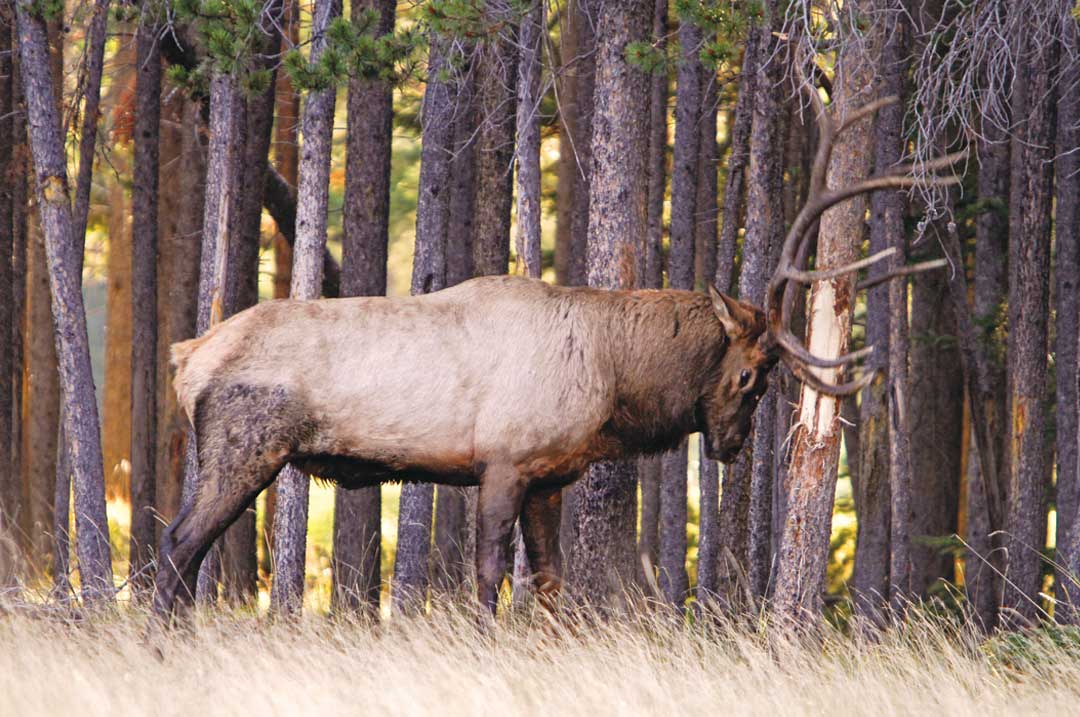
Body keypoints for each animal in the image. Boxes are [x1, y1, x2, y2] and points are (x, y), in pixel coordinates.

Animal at [151, 79, 962, 621]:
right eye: (753, 374)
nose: (731, 445)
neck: (612, 384)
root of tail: (187, 356)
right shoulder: (503, 461)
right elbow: (487, 575)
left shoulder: (546, 477)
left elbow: (549, 580)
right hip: (245, 446)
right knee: (178, 545)